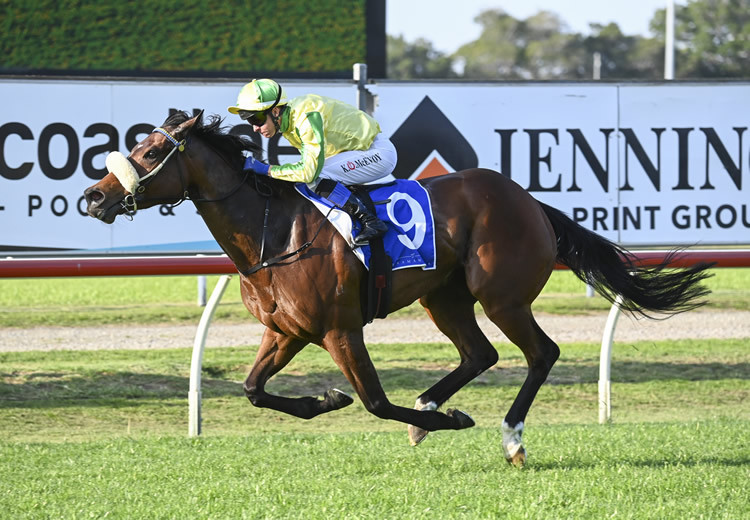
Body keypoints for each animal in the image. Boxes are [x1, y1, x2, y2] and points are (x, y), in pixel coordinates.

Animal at [83, 111, 713, 466]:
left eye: (148, 152)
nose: (93, 196)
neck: (273, 232)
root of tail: (530, 200)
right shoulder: (286, 331)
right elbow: (253, 389)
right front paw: (324, 400)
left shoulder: (340, 329)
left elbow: (376, 402)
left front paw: (446, 421)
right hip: (445, 297)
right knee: (480, 353)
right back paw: (431, 406)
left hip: (501, 295)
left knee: (541, 352)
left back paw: (508, 437)